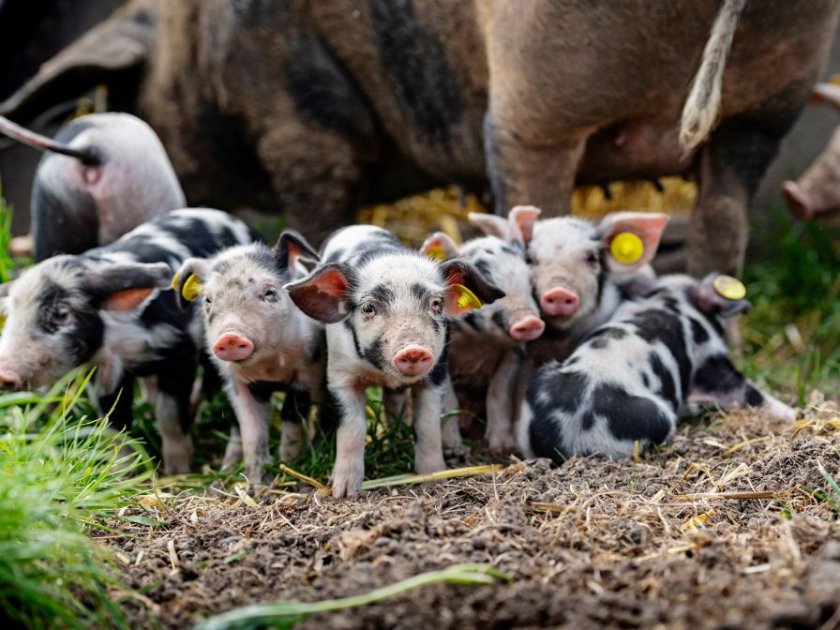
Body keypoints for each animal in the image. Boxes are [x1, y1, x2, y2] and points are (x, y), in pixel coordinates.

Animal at [0, 208, 255, 473]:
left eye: (61, 313)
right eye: (11, 315)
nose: (4, 373)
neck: (122, 347)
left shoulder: (179, 351)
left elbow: (170, 417)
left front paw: (178, 473)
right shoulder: (103, 372)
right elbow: (116, 426)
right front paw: (122, 475)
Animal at [172, 231, 334, 482]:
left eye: (268, 293)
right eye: (208, 300)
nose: (230, 337)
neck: (269, 370)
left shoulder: (308, 372)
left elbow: (291, 413)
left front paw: (290, 463)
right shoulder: (238, 383)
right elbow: (251, 430)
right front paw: (256, 482)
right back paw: (227, 468)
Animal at [285, 225, 504, 497]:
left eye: (436, 303)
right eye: (368, 308)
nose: (413, 348)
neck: (381, 372)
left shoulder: (435, 376)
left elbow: (427, 426)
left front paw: (434, 479)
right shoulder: (340, 375)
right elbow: (352, 429)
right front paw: (343, 492)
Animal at [420, 212, 544, 450]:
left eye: (530, 280)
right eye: (488, 281)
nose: (530, 320)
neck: (477, 341)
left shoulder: (512, 354)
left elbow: (499, 391)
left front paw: (501, 447)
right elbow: (448, 398)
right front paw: (454, 446)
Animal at [518, 273, 796, 462]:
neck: (669, 301)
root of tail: (569, 434)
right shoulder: (711, 361)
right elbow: (749, 392)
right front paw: (794, 414)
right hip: (659, 415)